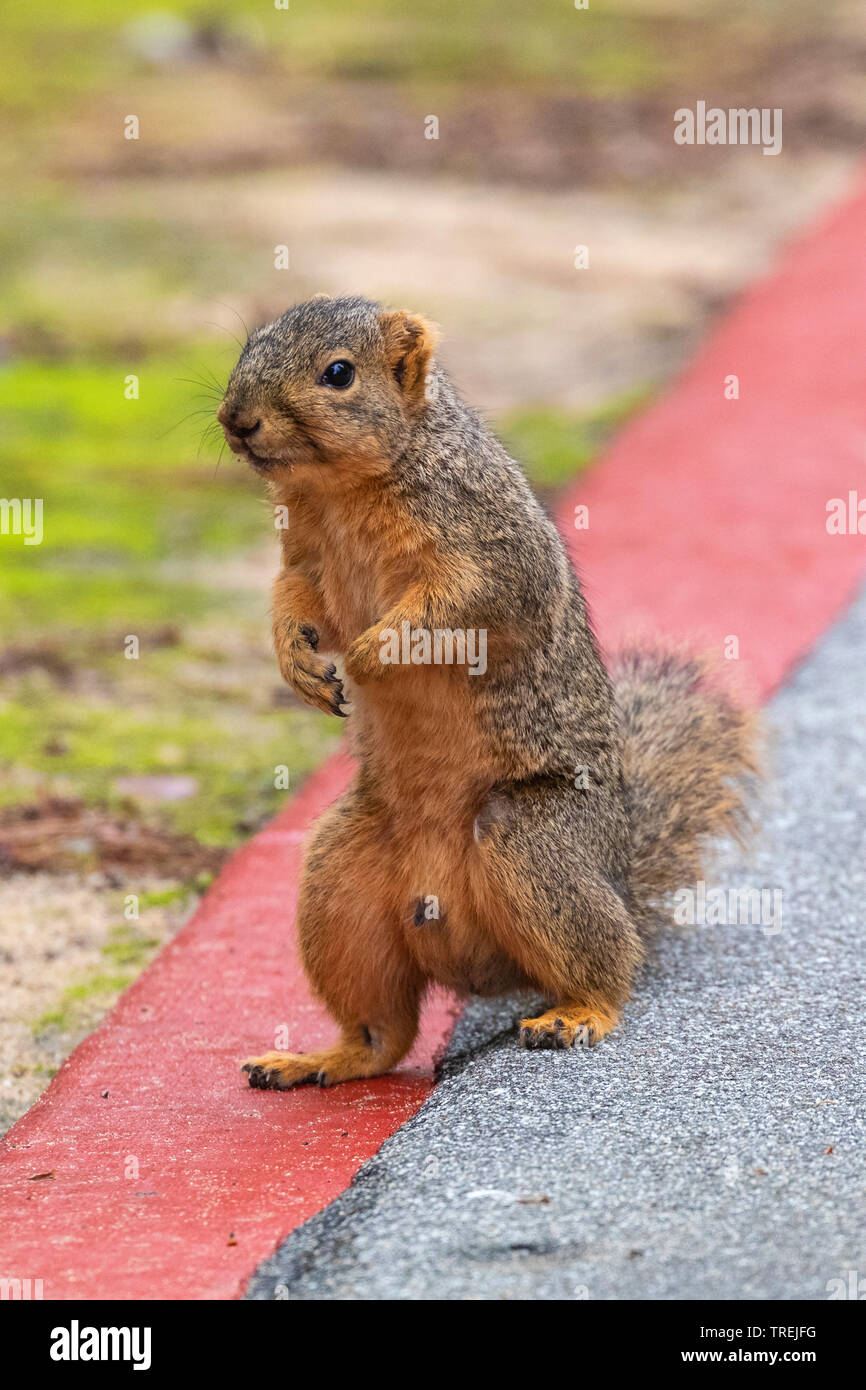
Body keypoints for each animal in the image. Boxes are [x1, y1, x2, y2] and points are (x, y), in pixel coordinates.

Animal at [216, 295, 757, 1089]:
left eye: (338, 373)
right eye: (248, 346)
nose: (235, 418)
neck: (340, 488)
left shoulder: (490, 551)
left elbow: (456, 606)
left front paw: (376, 650)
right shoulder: (304, 558)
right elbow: (292, 596)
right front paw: (297, 661)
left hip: (533, 840)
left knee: (609, 961)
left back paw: (577, 1012)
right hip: (339, 879)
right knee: (383, 1034)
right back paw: (315, 1059)